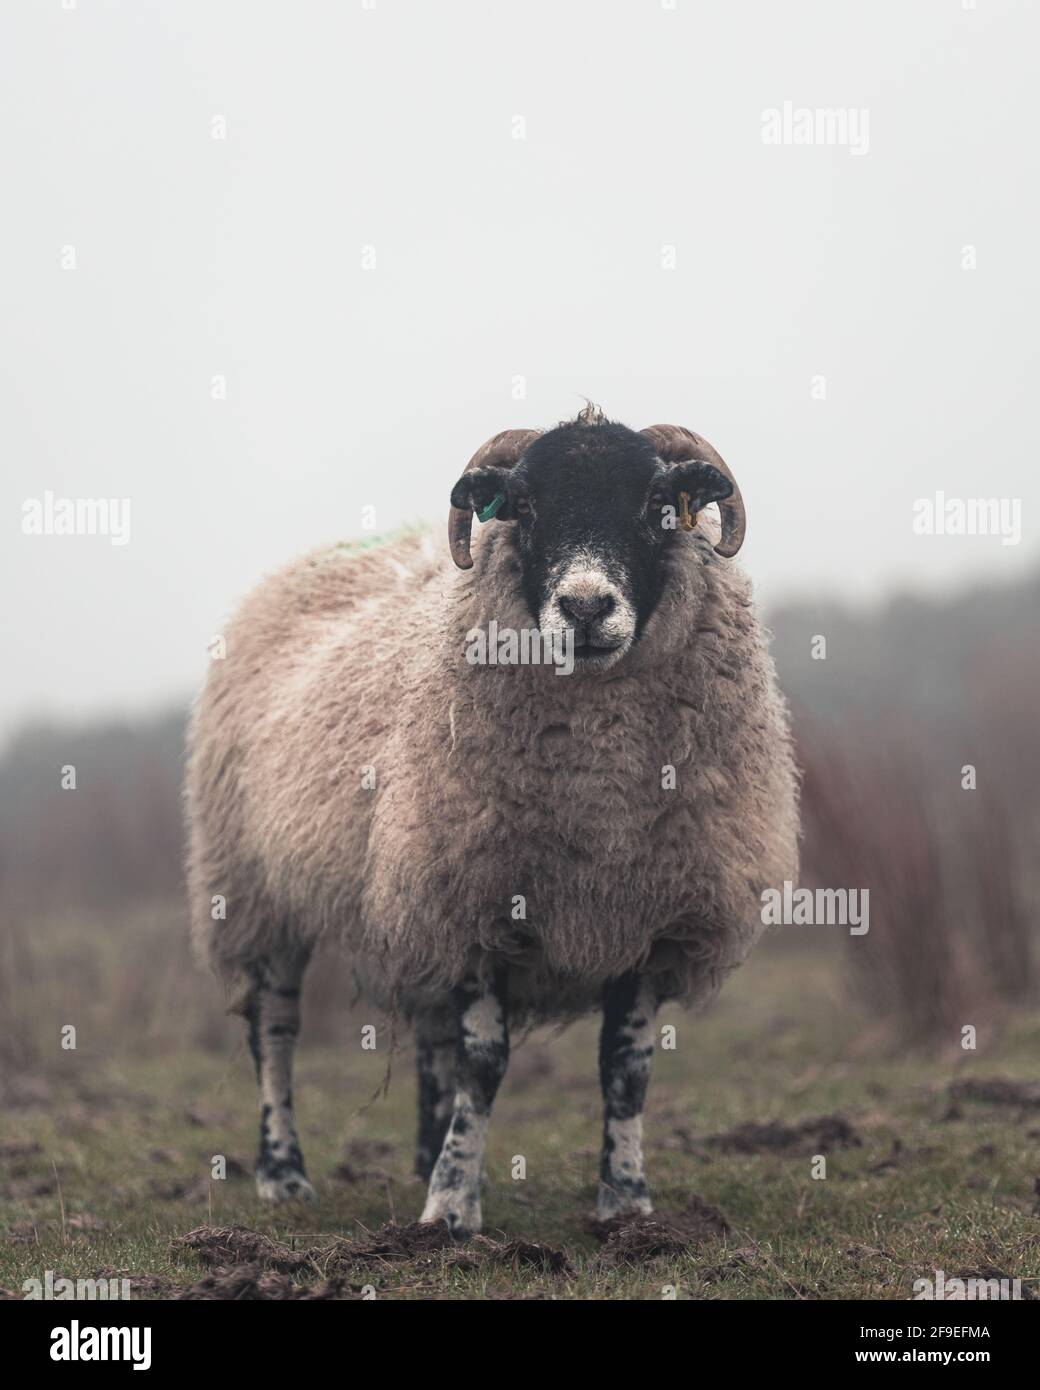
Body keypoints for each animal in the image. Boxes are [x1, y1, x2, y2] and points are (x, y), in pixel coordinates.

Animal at [184, 406, 799, 1234]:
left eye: (656, 505)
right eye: (525, 506)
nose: (584, 608)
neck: (600, 801)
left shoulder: (651, 914)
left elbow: (625, 1068)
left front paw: (625, 1202)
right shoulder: (472, 904)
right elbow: (485, 1065)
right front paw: (450, 1208)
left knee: (428, 1034)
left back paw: (420, 1155)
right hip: (256, 889)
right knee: (274, 1032)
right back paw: (285, 1174)